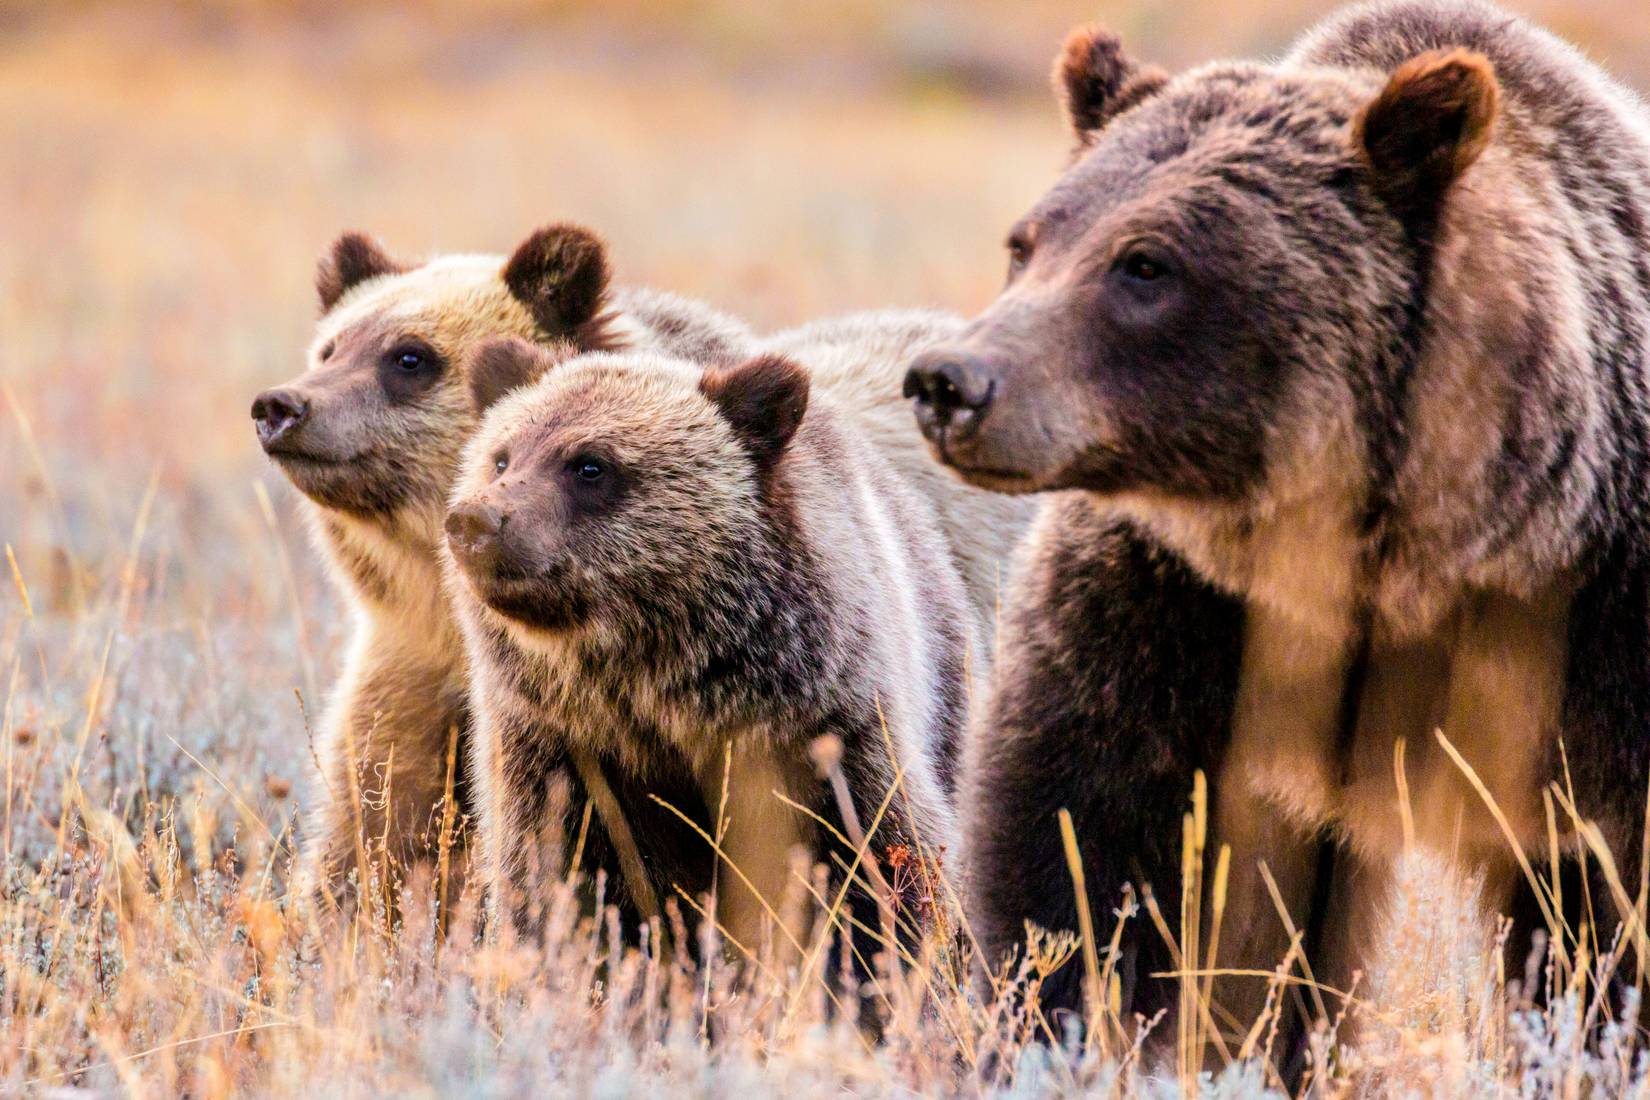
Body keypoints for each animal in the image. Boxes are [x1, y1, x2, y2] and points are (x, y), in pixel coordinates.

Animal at [441, 335, 992, 974]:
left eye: (590, 464)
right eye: (502, 457)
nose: (475, 519)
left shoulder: (823, 733)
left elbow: (879, 867)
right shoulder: (564, 751)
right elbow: (561, 878)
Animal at [903, 0, 1650, 1053]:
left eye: (1146, 263)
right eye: (1028, 242)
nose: (952, 382)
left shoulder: (1597, 630)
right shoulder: (1177, 615)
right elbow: (1091, 850)